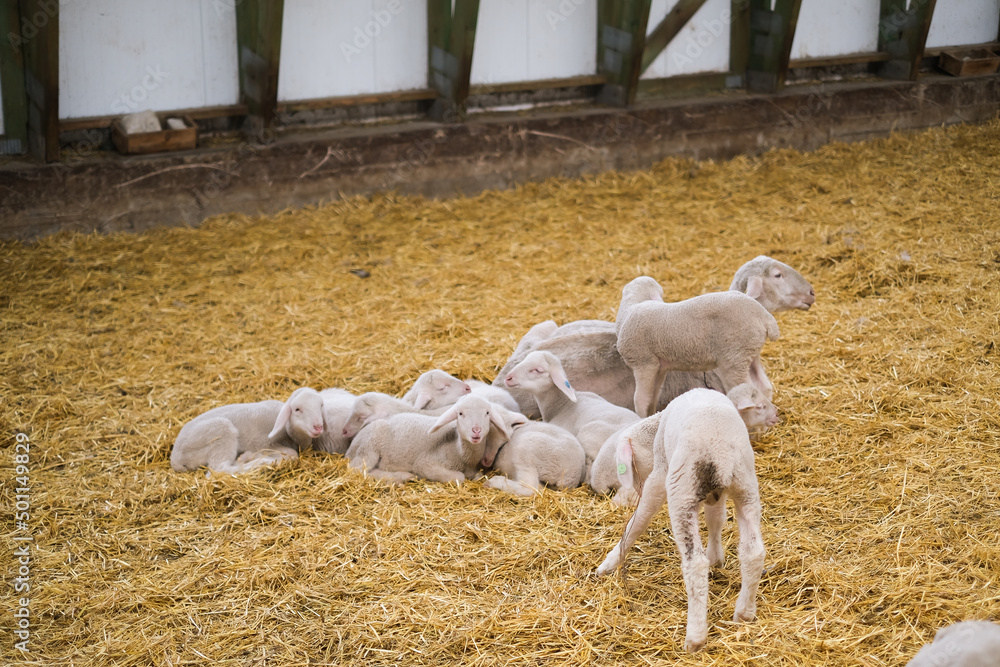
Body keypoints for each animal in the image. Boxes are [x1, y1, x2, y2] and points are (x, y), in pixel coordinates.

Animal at [170, 387, 326, 474]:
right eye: (297, 409)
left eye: (321, 405)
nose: (318, 427)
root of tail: (175, 458)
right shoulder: (262, 443)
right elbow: (292, 454)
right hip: (220, 432)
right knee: (219, 469)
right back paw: (255, 460)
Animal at [345, 394, 509, 485]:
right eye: (460, 413)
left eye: (487, 413)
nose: (476, 431)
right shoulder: (425, 463)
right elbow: (459, 477)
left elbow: (477, 476)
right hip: (368, 448)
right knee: (358, 470)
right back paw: (401, 476)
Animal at [595, 385, 774, 652]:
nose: (634, 488)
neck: (656, 427)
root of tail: (718, 450)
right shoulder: (715, 495)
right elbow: (716, 520)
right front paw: (717, 558)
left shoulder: (660, 472)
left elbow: (639, 520)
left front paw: (609, 562)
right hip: (746, 486)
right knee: (753, 552)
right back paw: (744, 613)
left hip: (683, 489)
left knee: (695, 564)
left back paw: (695, 637)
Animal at [615, 275, 780, 418]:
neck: (630, 309)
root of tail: (763, 315)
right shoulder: (659, 367)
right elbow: (653, 396)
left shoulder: (644, 363)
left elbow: (641, 400)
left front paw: (640, 419)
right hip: (750, 351)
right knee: (764, 385)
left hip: (735, 356)